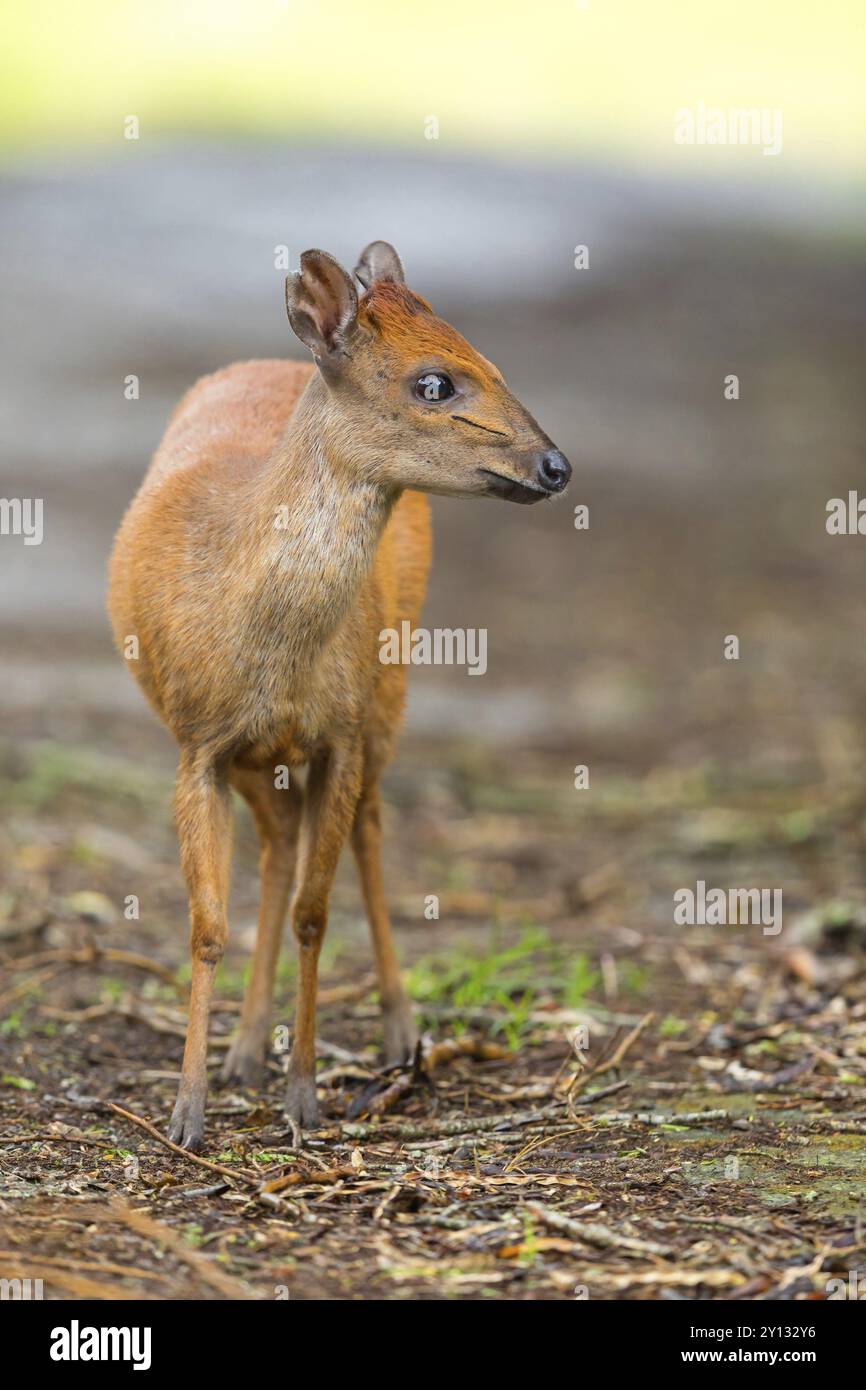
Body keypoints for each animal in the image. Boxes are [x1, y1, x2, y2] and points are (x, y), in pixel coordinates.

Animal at [108, 241, 570, 1150]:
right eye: (436, 382)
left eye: (493, 361)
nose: (556, 465)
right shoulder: (199, 743)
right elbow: (208, 925)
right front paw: (187, 1113)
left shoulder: (341, 736)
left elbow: (316, 914)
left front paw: (304, 1100)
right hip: (261, 757)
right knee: (279, 847)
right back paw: (244, 1050)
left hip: (389, 691)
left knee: (368, 831)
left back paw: (396, 1033)